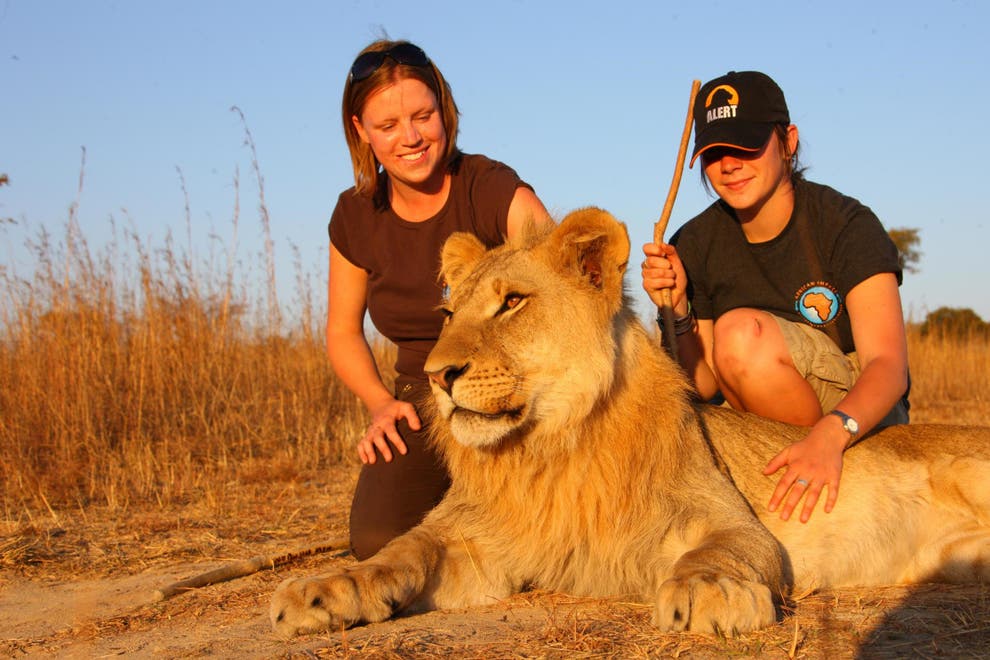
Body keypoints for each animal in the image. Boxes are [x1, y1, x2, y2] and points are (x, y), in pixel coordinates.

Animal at [271, 208, 990, 637]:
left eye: (512, 303)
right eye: (449, 316)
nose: (437, 376)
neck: (548, 448)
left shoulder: (733, 520)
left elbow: (719, 551)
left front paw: (707, 594)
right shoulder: (478, 544)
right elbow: (400, 551)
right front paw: (322, 591)